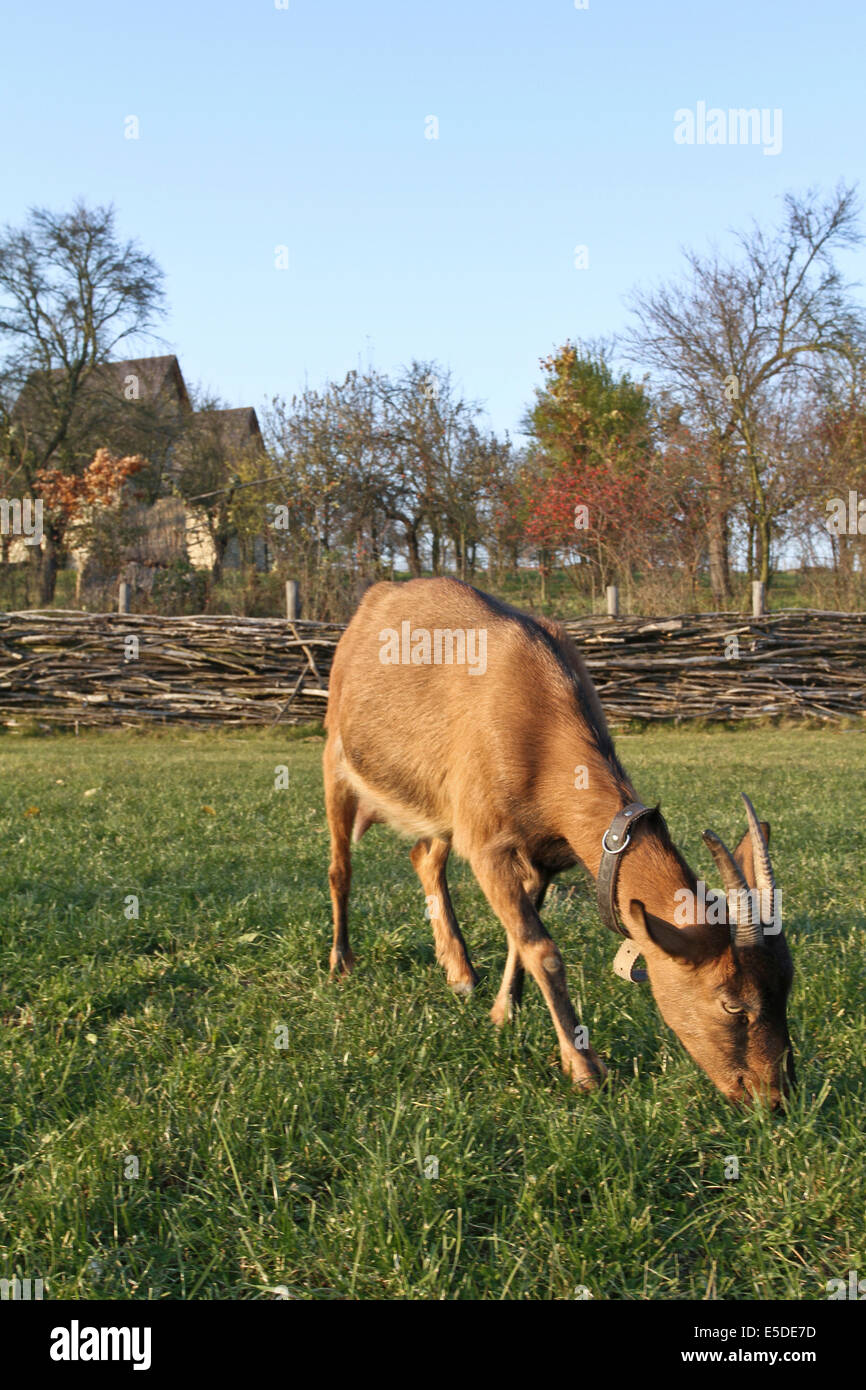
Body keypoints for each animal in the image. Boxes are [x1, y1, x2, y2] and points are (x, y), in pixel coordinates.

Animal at [323, 578, 795, 1105]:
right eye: (733, 1004)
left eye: (788, 987)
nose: (775, 1096)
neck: (541, 731)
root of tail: (372, 602)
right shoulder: (487, 843)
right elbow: (542, 949)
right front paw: (585, 1067)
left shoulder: (542, 856)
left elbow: (520, 939)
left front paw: (503, 1012)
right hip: (337, 757)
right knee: (341, 869)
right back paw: (341, 960)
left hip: (440, 802)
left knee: (424, 856)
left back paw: (461, 974)